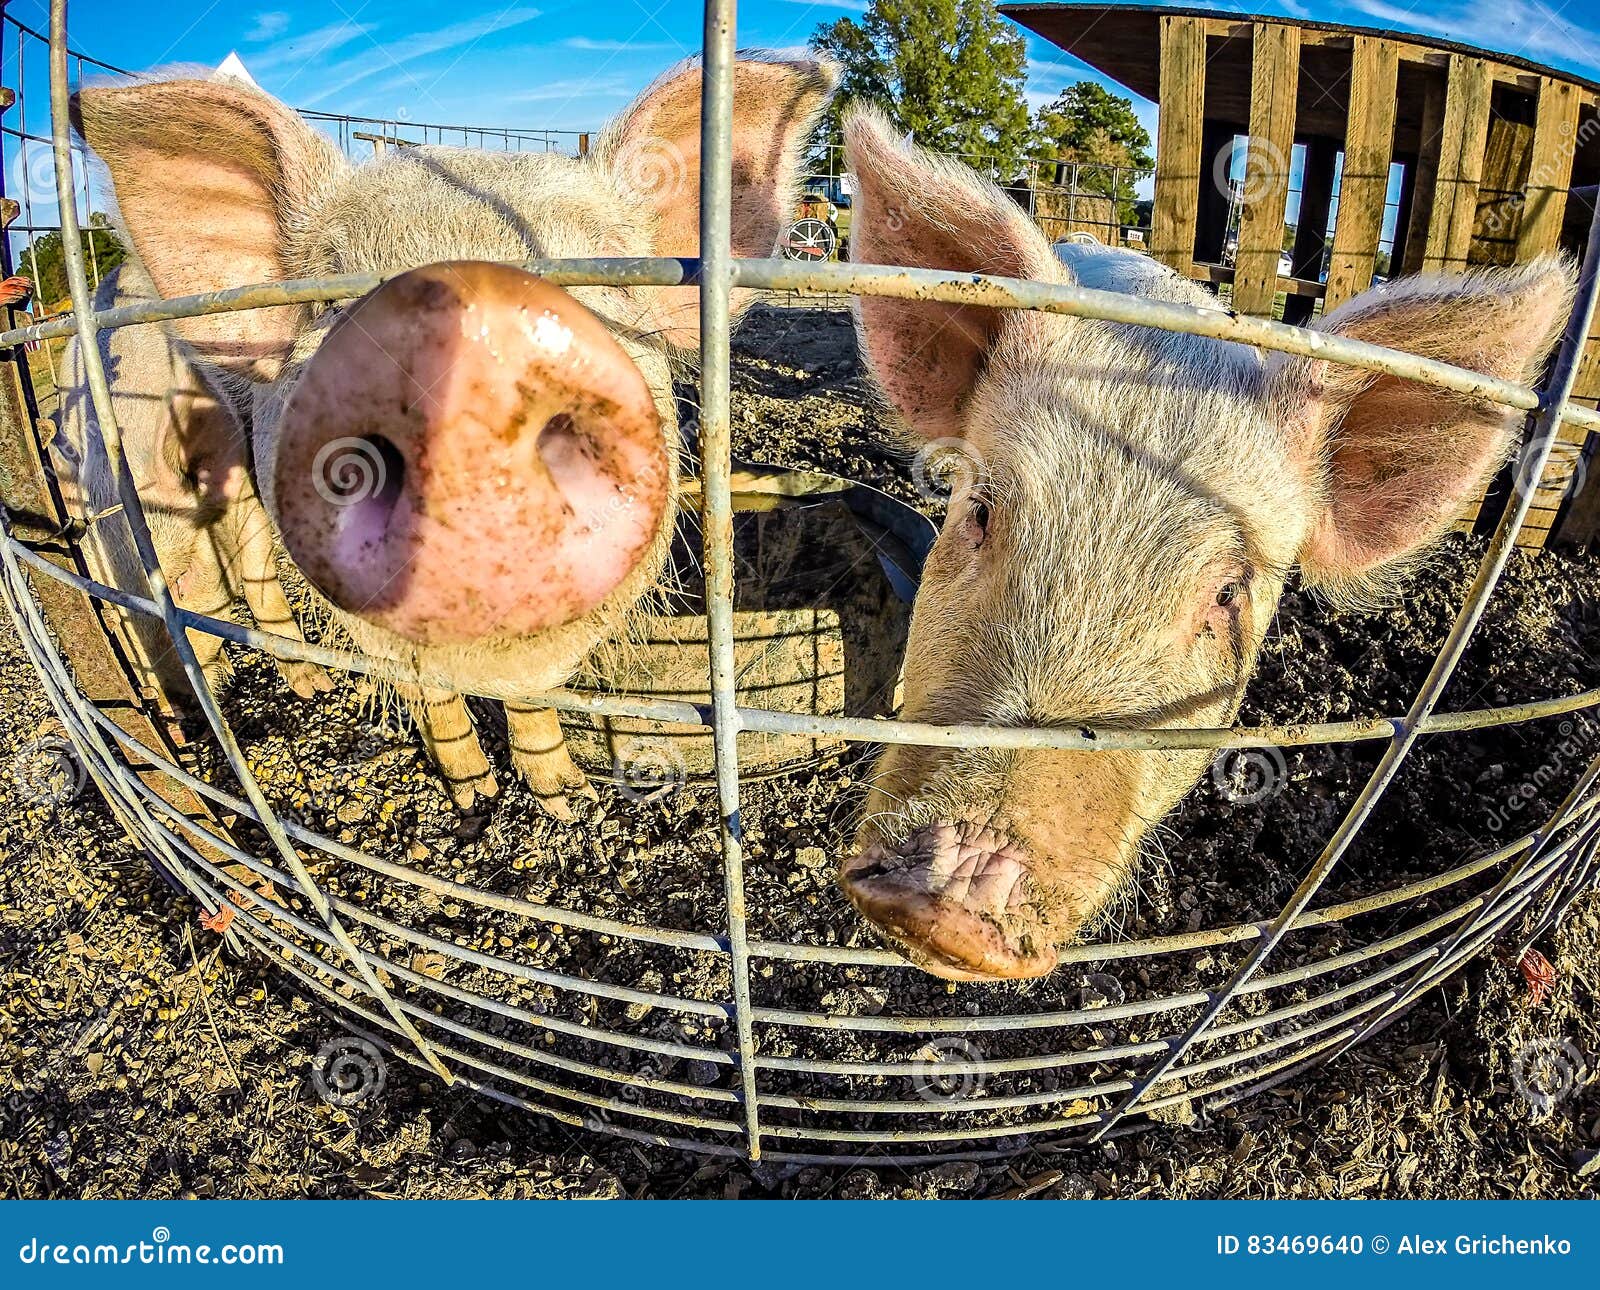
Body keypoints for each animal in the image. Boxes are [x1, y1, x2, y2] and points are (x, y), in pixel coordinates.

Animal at [56, 261, 332, 704]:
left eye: (180, 581)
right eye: (115, 608)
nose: (172, 703)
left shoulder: (239, 477)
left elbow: (259, 582)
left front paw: (313, 688)